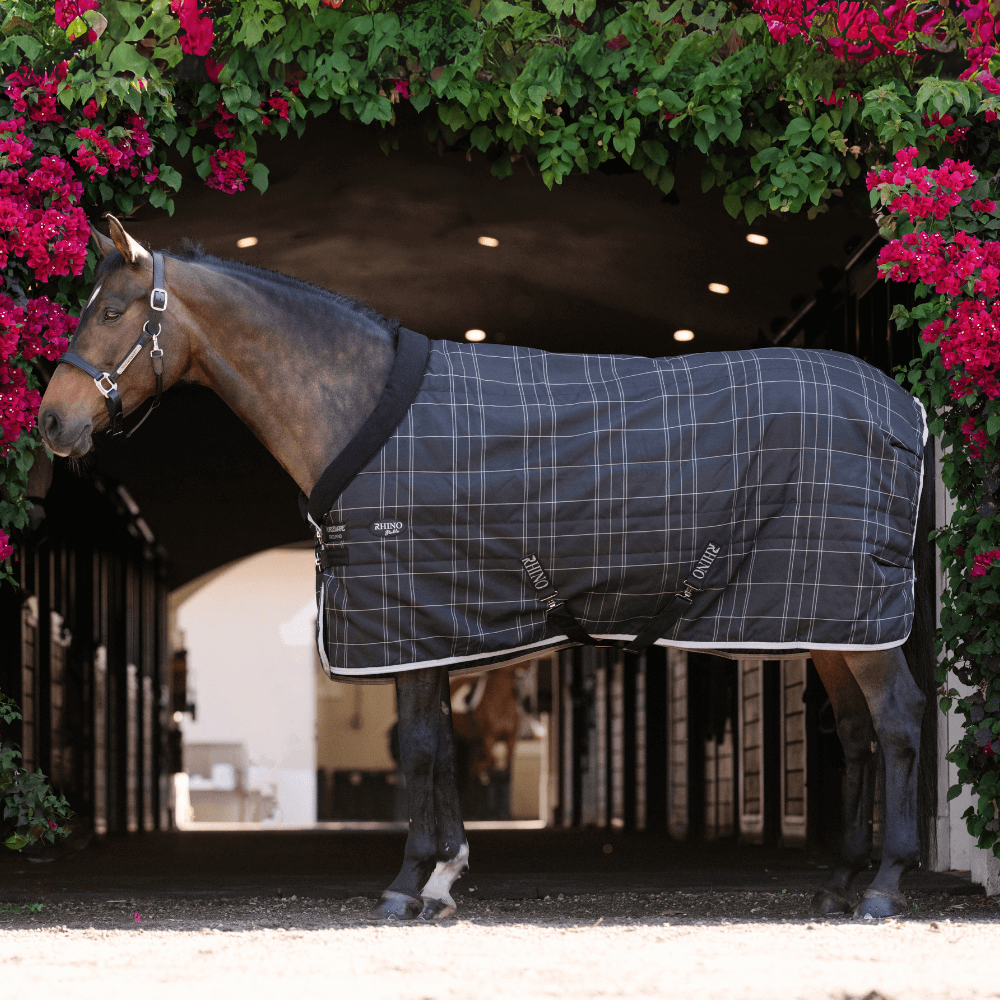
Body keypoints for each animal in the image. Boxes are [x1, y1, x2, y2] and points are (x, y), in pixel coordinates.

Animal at [36, 217, 927, 921]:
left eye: (111, 312)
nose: (51, 422)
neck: (359, 406)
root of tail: (903, 409)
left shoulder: (405, 616)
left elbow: (423, 747)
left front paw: (409, 884)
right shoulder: (427, 624)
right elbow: (437, 747)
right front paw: (444, 876)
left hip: (857, 620)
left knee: (899, 724)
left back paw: (885, 887)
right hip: (831, 626)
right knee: (857, 734)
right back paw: (840, 884)